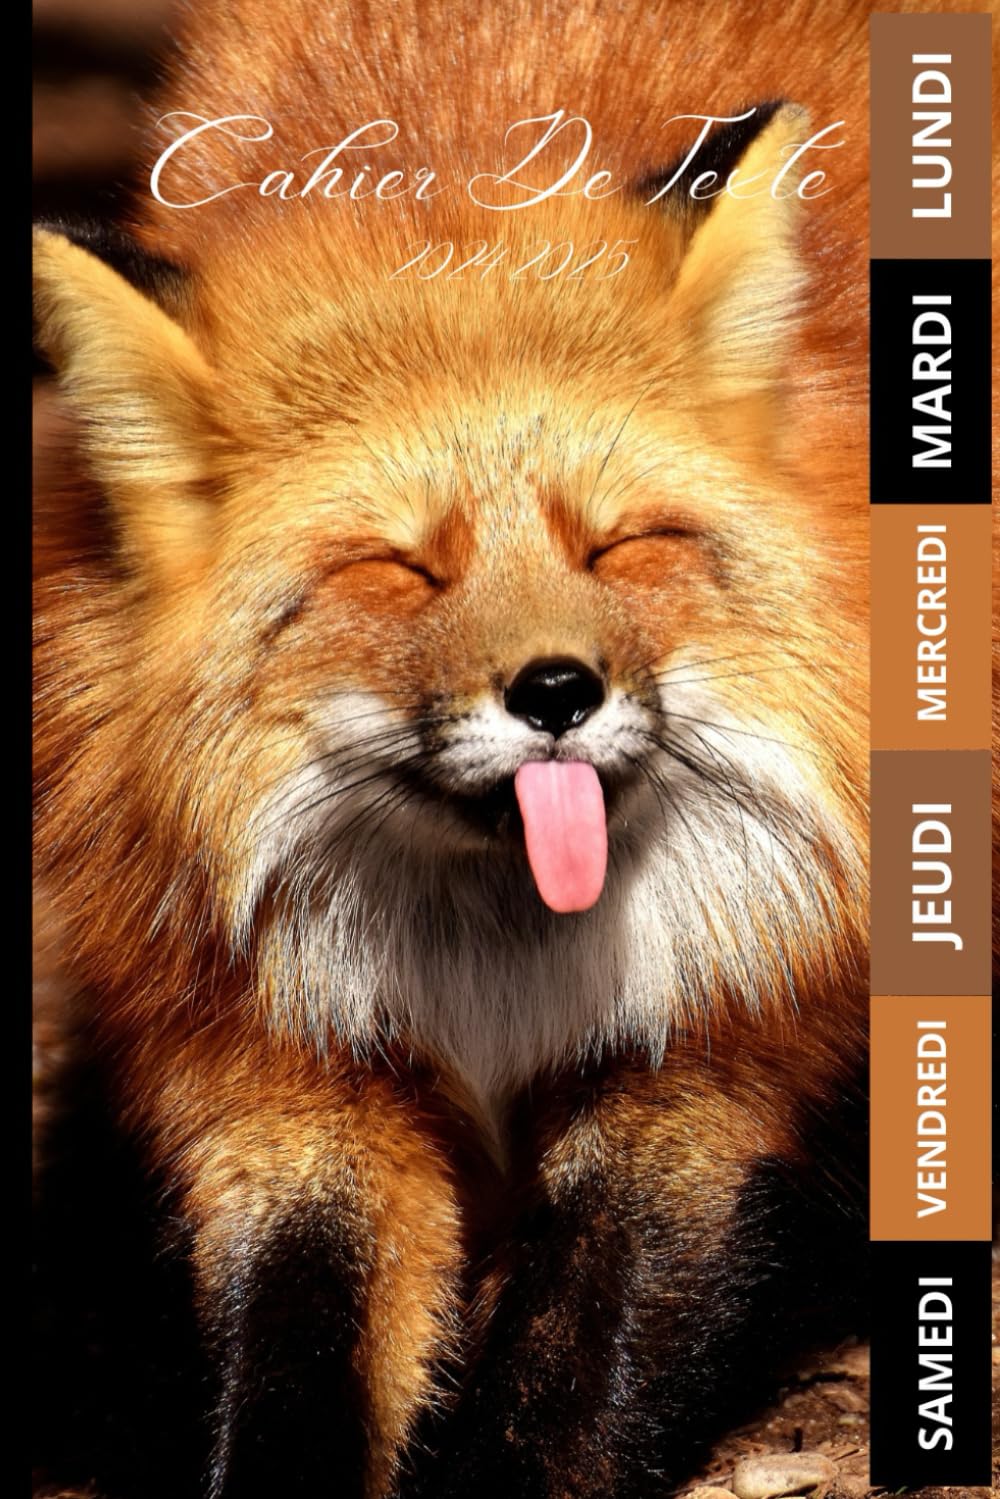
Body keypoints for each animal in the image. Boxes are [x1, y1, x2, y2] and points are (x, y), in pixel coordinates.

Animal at [32, 1, 892, 1495]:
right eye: (398, 568)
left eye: (618, 543)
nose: (557, 689)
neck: (497, 963)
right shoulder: (279, 1069)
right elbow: (301, 1333)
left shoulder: (716, 1045)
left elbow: (577, 1359)